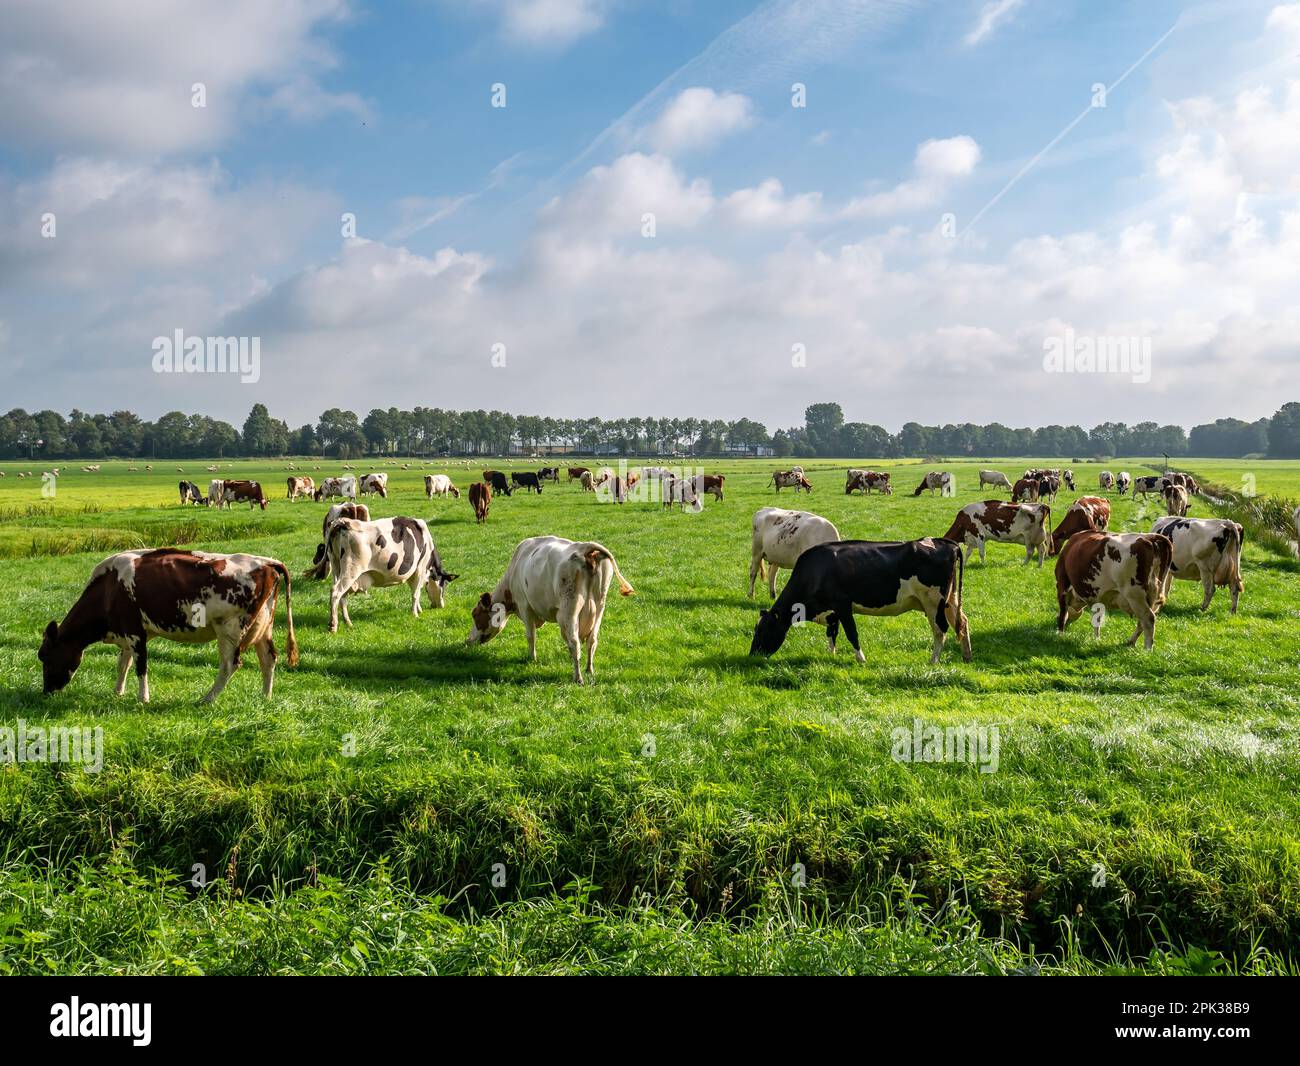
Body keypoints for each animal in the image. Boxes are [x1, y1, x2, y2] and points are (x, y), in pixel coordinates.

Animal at [39, 549, 298, 704]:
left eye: (46, 656)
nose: (46, 691)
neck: (109, 588)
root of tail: (266, 563)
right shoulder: (128, 633)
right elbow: (123, 663)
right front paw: (118, 692)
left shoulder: (135, 633)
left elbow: (140, 666)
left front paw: (143, 698)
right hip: (263, 627)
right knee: (268, 659)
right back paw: (265, 697)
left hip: (230, 628)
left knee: (230, 664)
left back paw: (207, 699)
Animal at [324, 517, 457, 632]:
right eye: (444, 584)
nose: (441, 606)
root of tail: (344, 522)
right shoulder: (420, 569)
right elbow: (416, 593)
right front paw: (415, 614)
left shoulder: (413, 573)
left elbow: (416, 591)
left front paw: (419, 609)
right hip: (351, 570)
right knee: (336, 592)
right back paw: (333, 626)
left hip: (336, 568)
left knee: (342, 596)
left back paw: (348, 622)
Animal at [464, 536, 634, 684]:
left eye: (475, 615)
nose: (468, 641)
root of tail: (583, 547)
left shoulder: (524, 605)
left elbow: (530, 635)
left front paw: (532, 659)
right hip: (600, 604)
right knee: (592, 640)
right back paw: (589, 670)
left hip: (570, 608)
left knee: (574, 642)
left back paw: (578, 678)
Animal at [749, 538, 971, 665]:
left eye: (763, 630)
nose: (753, 655)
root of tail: (945, 542)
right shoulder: (832, 612)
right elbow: (832, 633)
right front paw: (831, 654)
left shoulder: (843, 606)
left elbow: (851, 633)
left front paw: (861, 659)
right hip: (950, 600)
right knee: (962, 622)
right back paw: (967, 656)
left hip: (933, 602)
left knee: (940, 630)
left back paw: (933, 661)